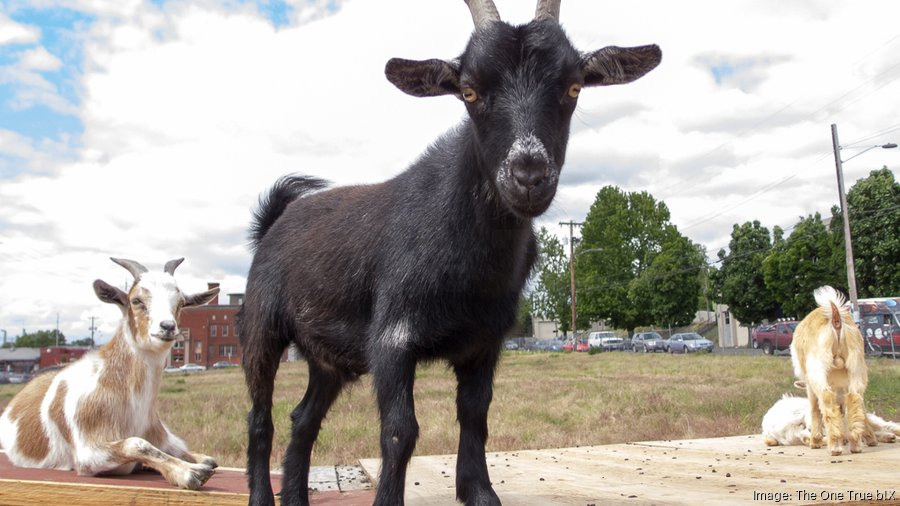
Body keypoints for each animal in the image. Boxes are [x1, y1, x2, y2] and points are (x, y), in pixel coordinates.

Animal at [0, 258, 220, 489]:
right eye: (136, 300)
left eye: (180, 302)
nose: (168, 327)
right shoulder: (87, 453)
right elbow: (136, 443)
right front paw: (189, 472)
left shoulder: (164, 439)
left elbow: (200, 457)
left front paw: (195, 465)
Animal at [238, 1, 660, 505]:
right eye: (469, 91)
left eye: (574, 87)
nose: (529, 175)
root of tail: (275, 222)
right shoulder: (391, 339)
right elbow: (400, 432)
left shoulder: (485, 342)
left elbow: (476, 417)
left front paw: (480, 492)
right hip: (260, 328)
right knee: (259, 419)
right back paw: (262, 495)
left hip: (327, 360)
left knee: (303, 419)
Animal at [790, 285, 876, 455]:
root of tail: (836, 318)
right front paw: (869, 438)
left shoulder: (809, 384)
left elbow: (814, 408)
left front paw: (815, 441)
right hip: (856, 365)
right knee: (855, 399)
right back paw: (855, 443)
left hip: (817, 368)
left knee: (826, 398)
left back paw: (834, 445)